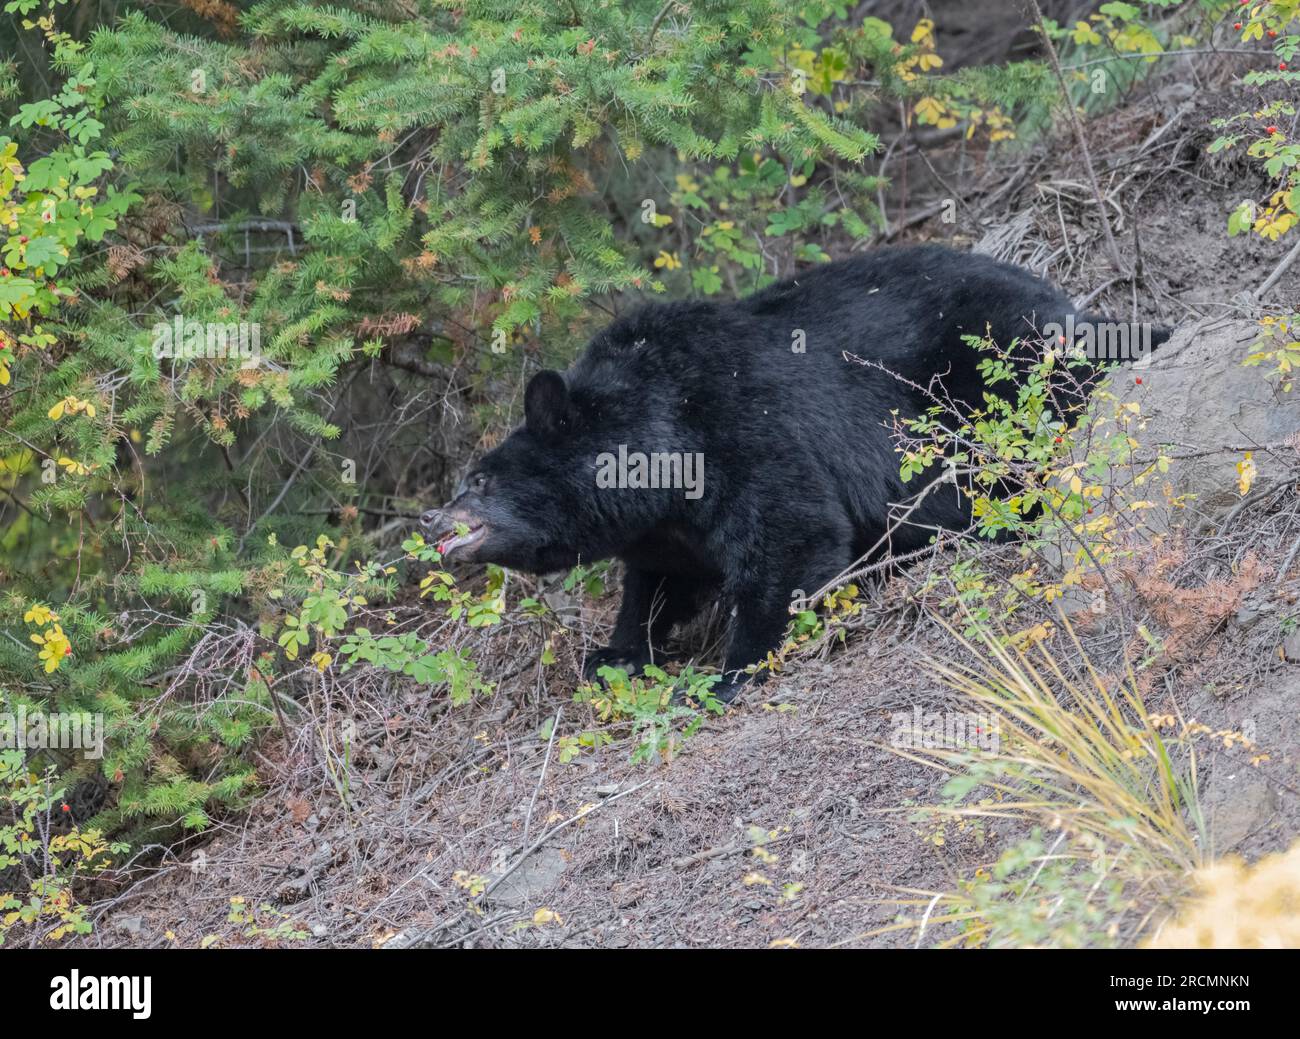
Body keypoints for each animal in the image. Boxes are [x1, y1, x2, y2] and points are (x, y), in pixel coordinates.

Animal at [420, 243, 1168, 698]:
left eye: (479, 479)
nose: (430, 517)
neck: (656, 438)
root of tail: (1074, 309)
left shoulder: (737, 431)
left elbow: (791, 532)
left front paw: (735, 668)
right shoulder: (661, 524)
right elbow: (659, 581)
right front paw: (617, 650)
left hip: (997, 377)